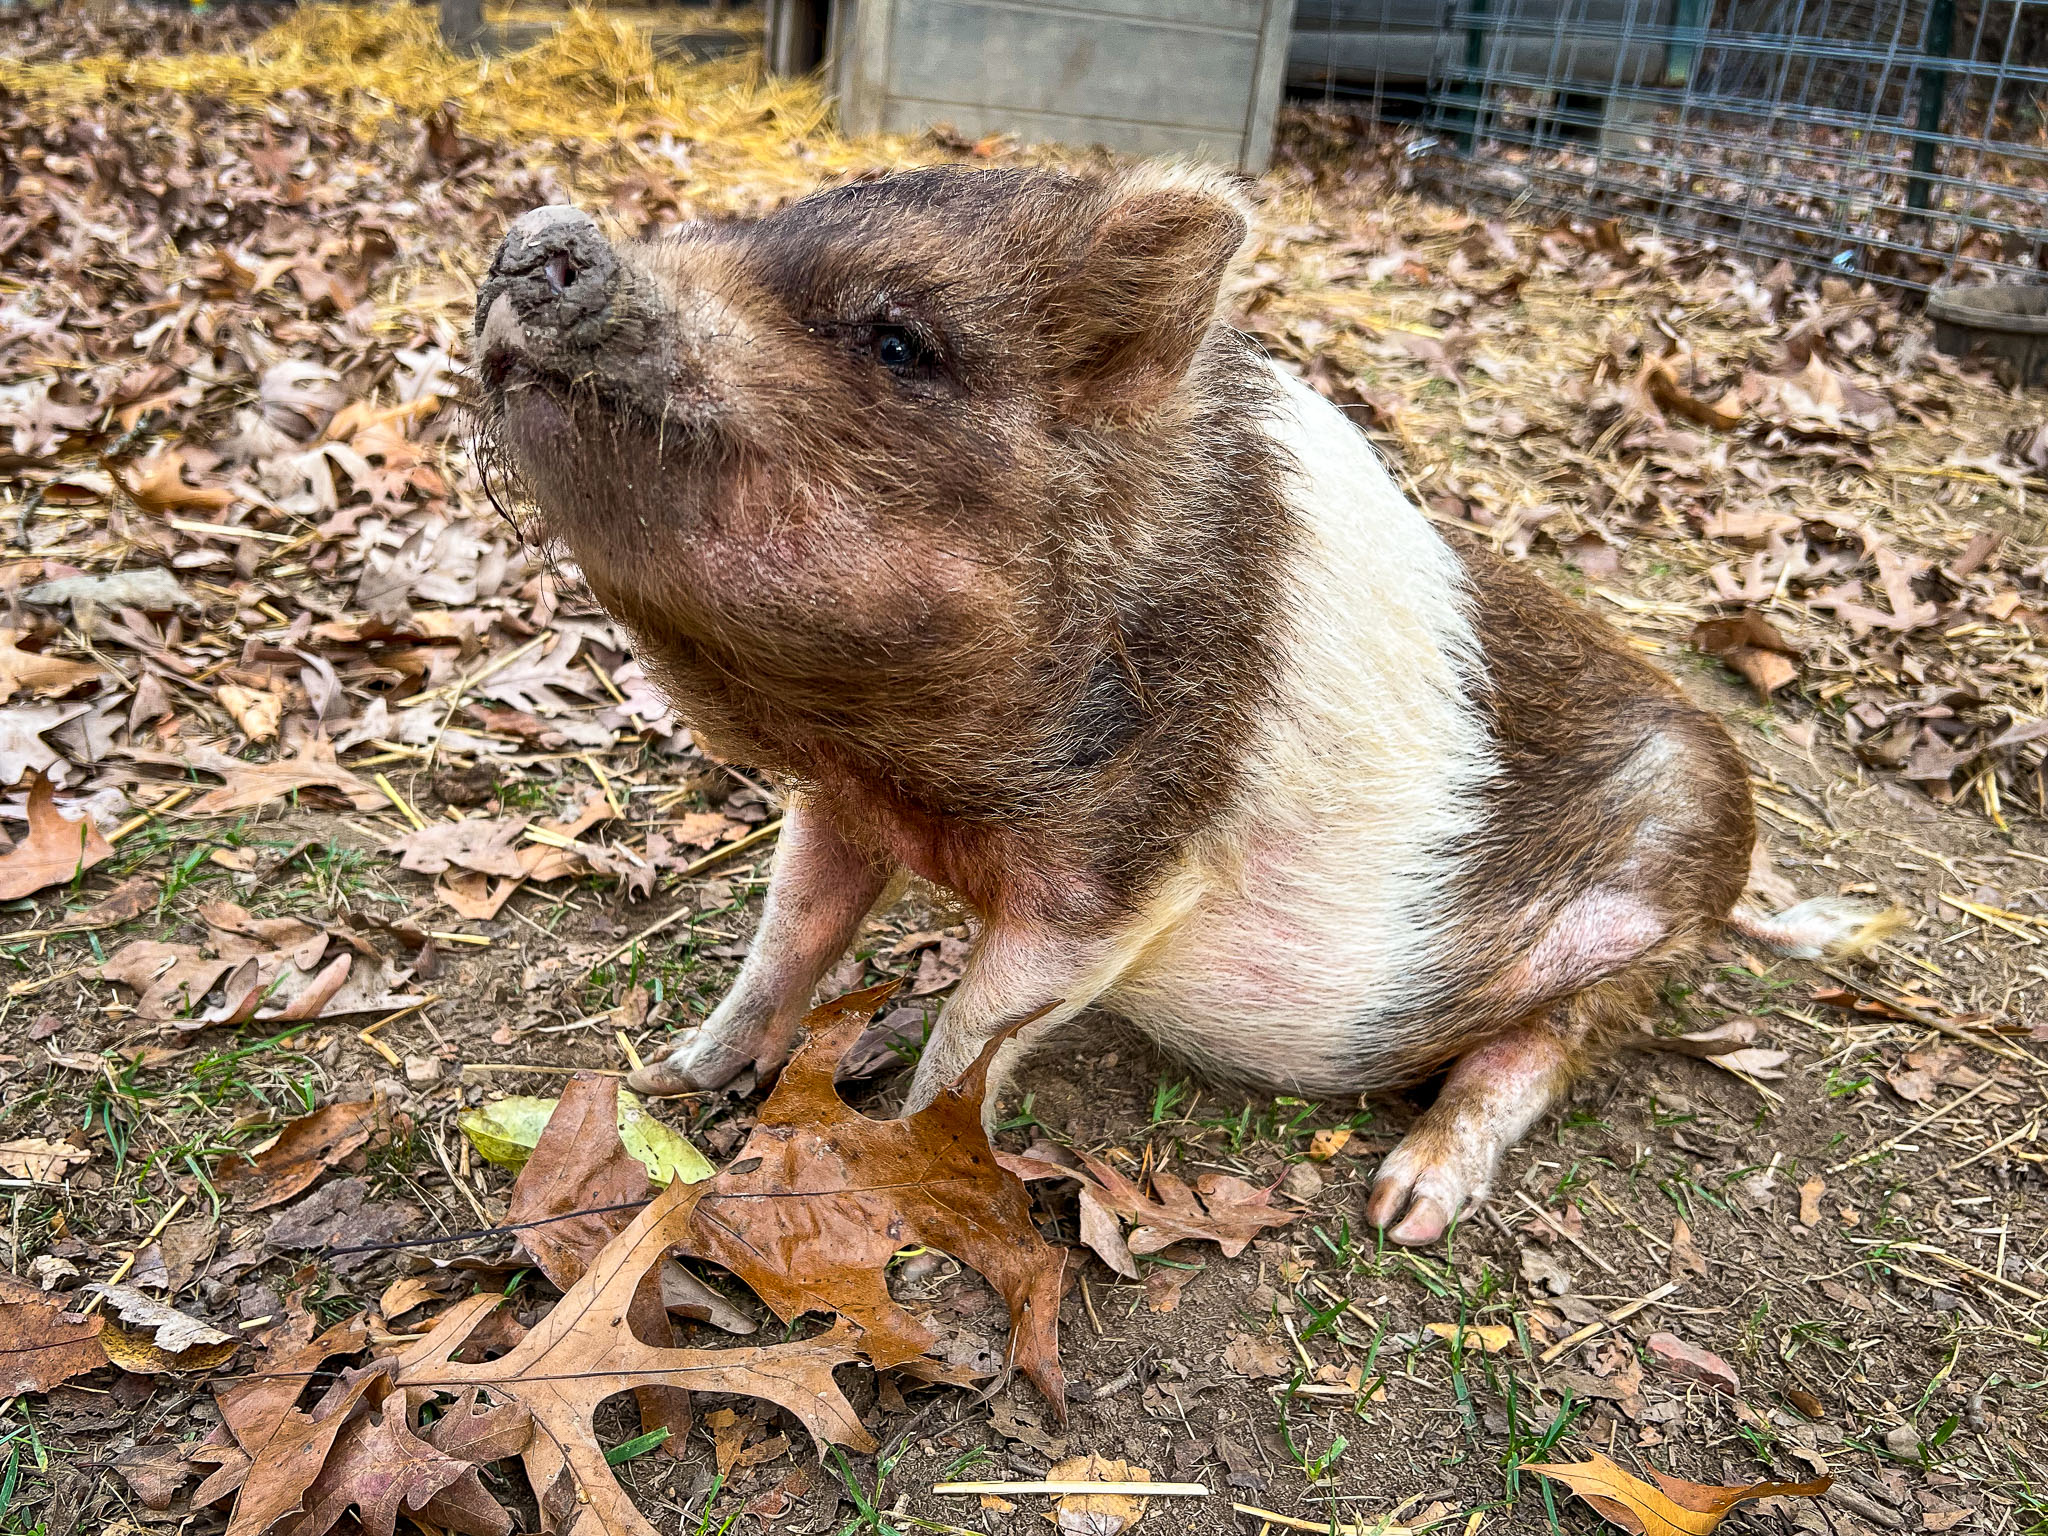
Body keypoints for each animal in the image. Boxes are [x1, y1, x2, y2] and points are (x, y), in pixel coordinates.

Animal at [473, 164, 1890, 1245]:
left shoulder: (1126, 859)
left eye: (897, 339)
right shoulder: (842, 802)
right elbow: (789, 934)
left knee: (1534, 1054)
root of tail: (1737, 858)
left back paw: (1403, 1210)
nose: (542, 234)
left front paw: (895, 1173)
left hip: (1651, 910)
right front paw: (669, 1077)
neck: (901, 763)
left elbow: (973, 1033)